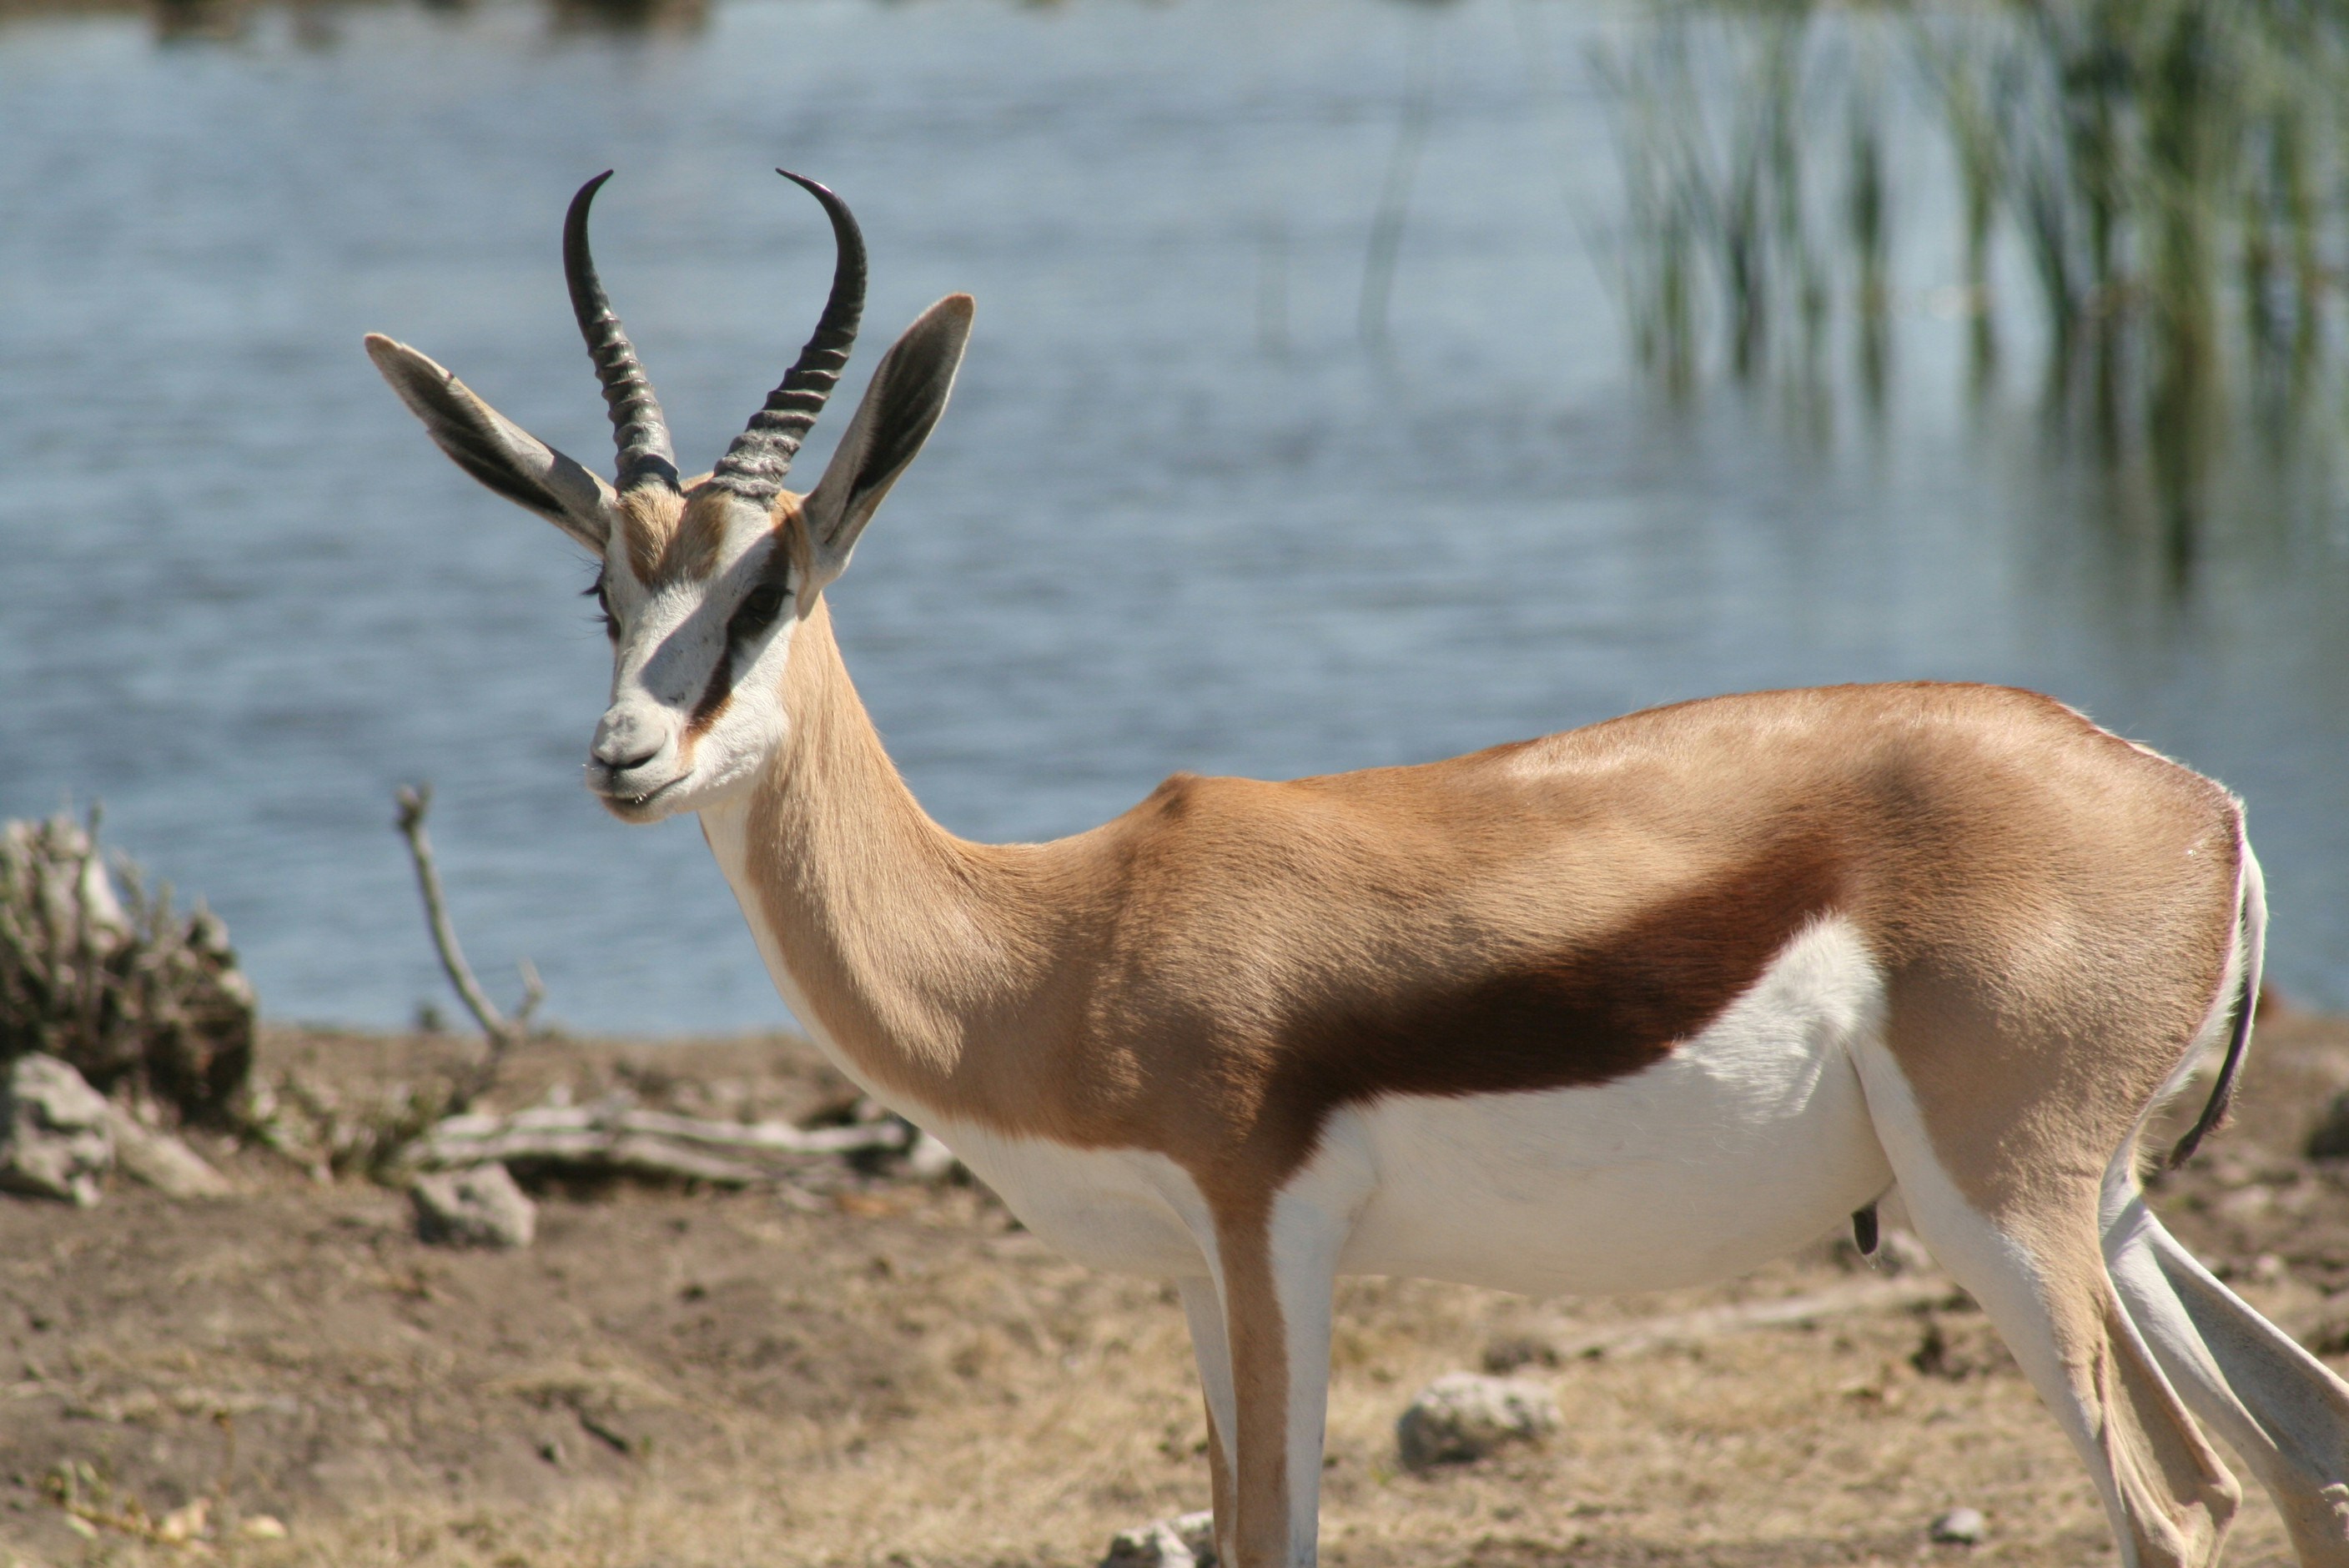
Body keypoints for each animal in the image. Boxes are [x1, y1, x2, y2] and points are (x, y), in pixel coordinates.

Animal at [367, 170, 2349, 1568]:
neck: (1055, 941)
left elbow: (1275, 1539)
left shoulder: (1269, 1240)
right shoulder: (1189, 1271)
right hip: (2102, 1205)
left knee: (2177, 1501)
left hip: (1999, 1204)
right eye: (605, 590)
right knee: (2306, 1440)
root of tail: (2200, 803)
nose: (625, 760)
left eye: (770, 588)